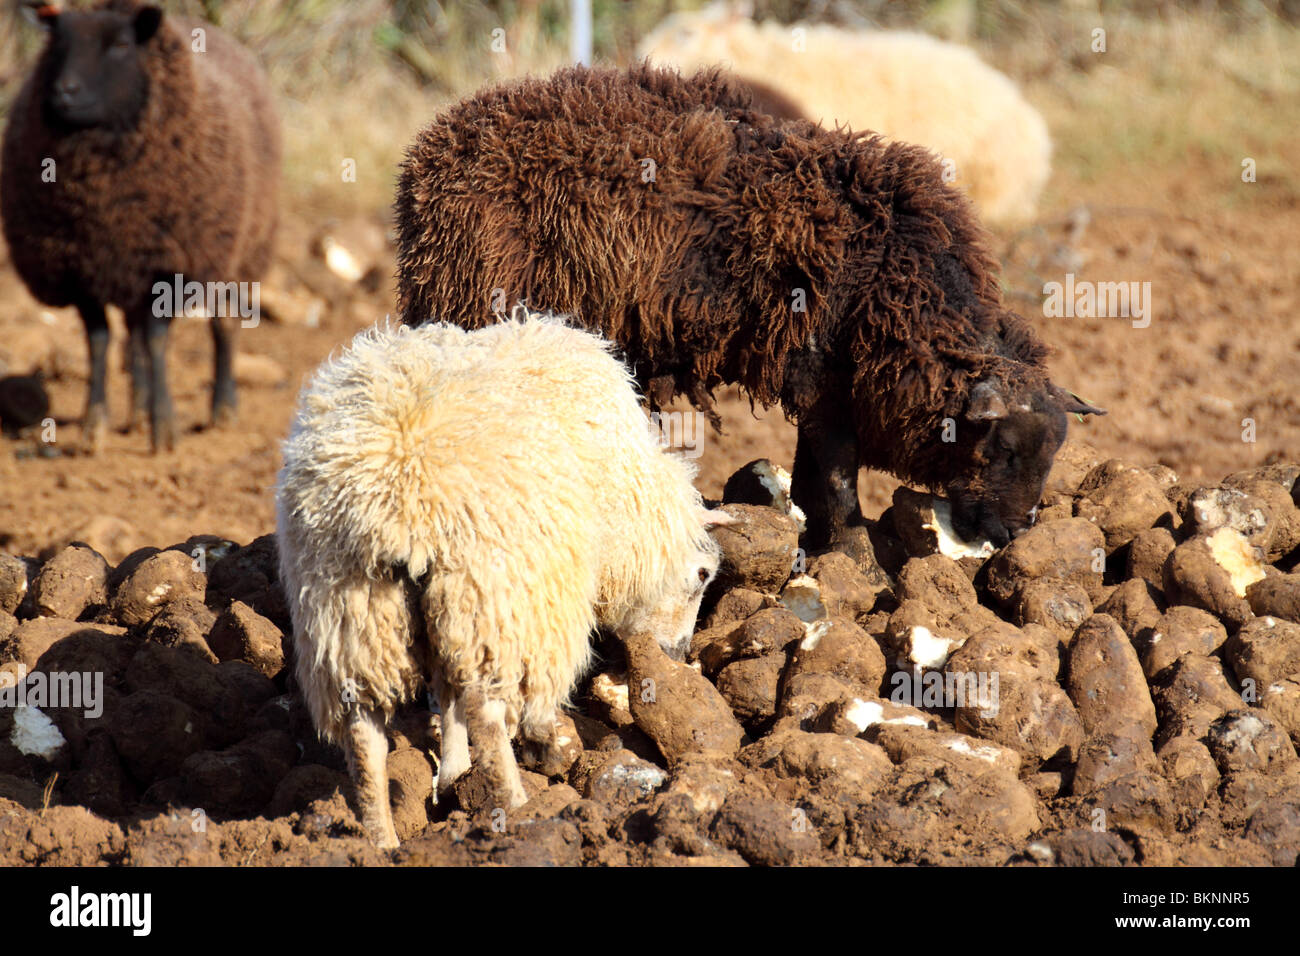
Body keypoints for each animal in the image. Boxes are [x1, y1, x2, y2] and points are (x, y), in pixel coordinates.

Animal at [0, 0, 280, 453]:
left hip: (240, 252)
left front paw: (164, 430)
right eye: (56, 43)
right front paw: (95, 427)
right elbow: (99, 342)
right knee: (133, 339)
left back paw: (222, 411)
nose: (64, 92)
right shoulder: (78, 269)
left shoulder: (168, 264)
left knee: (223, 325)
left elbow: (157, 340)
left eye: (120, 45)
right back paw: (136, 412)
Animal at [275, 309, 732, 848]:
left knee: (365, 729)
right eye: (702, 575)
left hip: (352, 609)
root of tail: (400, 502)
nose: (677, 656)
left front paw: (451, 772)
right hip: (491, 594)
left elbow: (446, 692)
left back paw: (380, 838)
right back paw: (516, 805)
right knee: (488, 714)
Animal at [394, 64, 1104, 553]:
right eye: (1001, 450)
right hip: (473, 305)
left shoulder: (828, 390)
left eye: (1051, 457)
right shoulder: (821, 377)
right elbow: (839, 478)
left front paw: (819, 546)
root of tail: (431, 148)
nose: (1012, 535)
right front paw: (856, 556)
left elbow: (813, 473)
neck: (899, 284)